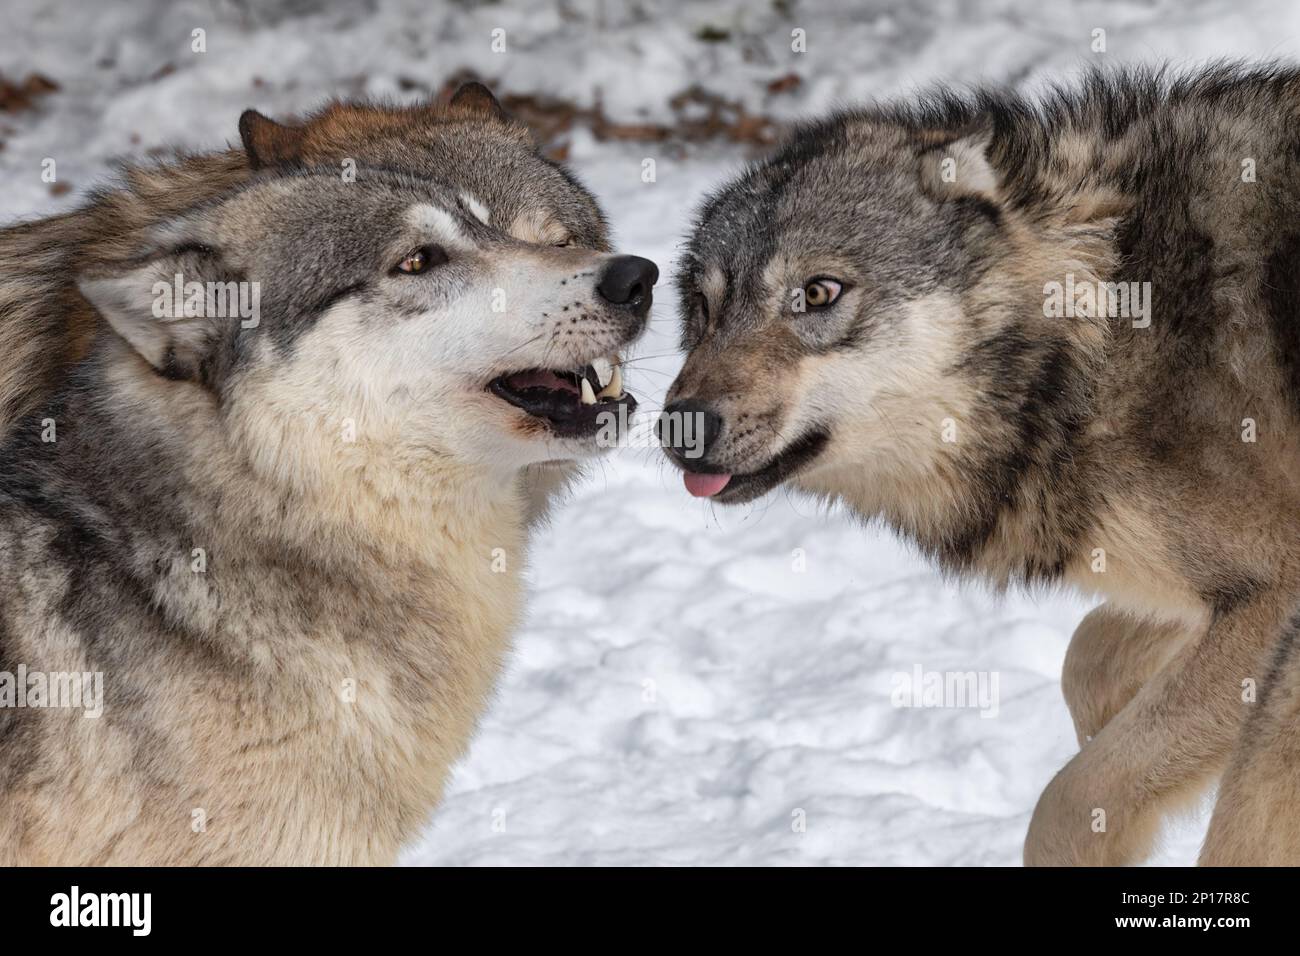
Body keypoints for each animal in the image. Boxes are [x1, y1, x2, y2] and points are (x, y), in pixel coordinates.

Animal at [663, 63, 1300, 866]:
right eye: (703, 304)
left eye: (817, 292)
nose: (678, 425)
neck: (1108, 318)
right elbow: (1086, 665)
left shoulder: (1277, 597)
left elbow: (1075, 801)